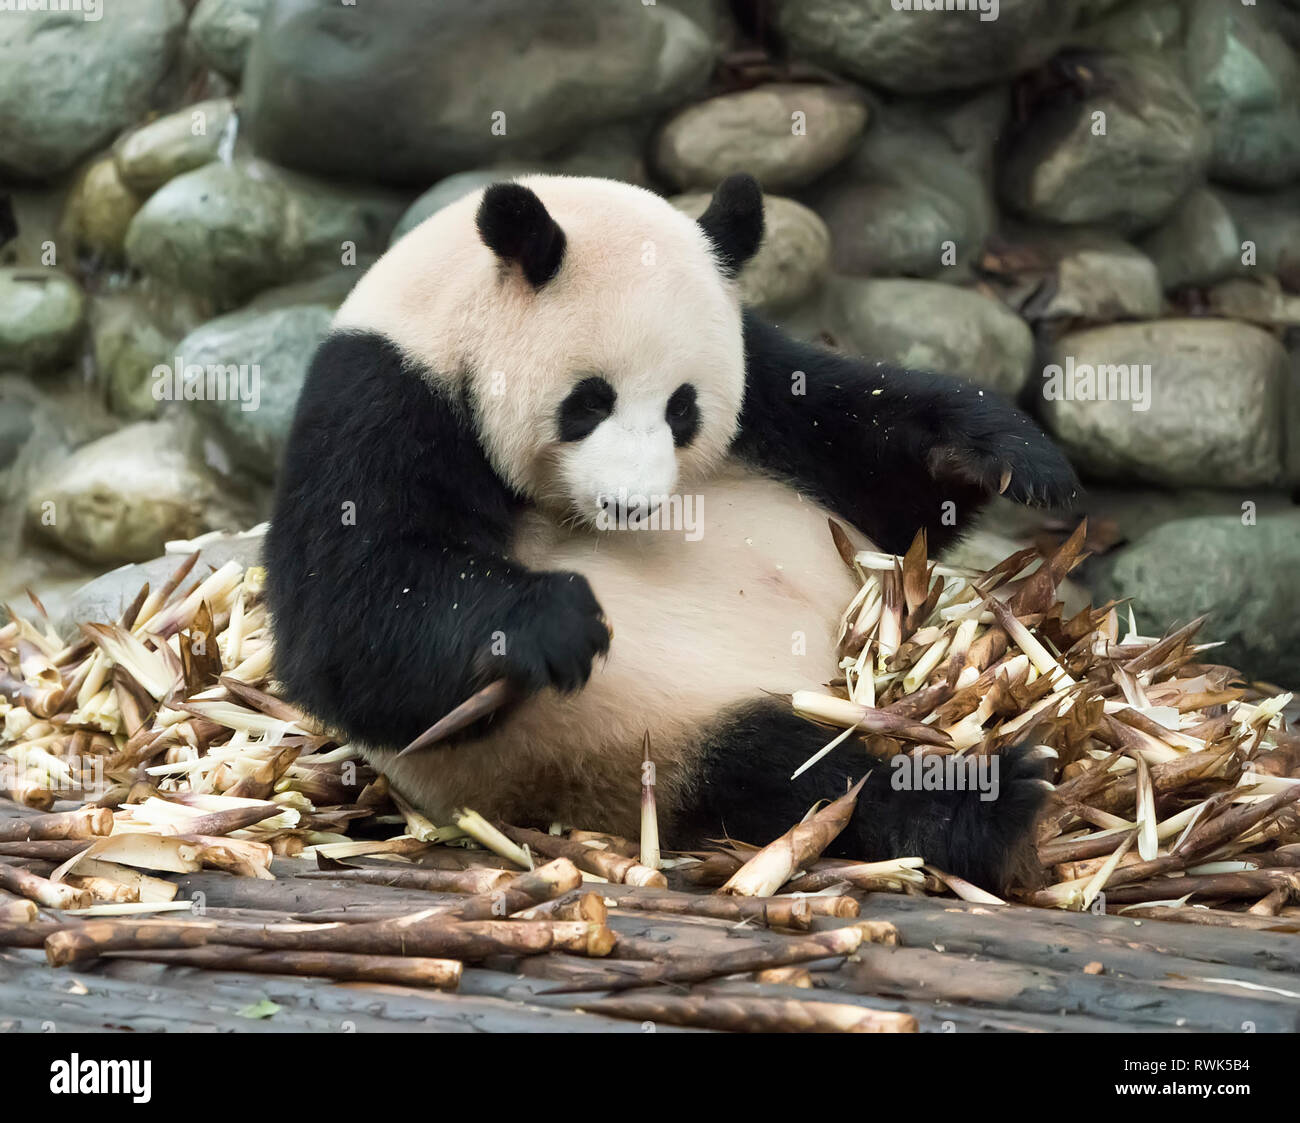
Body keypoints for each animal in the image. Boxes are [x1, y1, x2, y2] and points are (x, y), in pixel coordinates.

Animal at [265, 173, 1078, 891]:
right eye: (588, 401)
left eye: (683, 408)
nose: (630, 504)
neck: (447, 314)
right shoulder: (383, 394)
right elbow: (348, 621)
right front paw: (552, 621)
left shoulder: (766, 383)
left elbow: (879, 469)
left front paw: (1007, 454)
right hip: (641, 738)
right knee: (795, 778)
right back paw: (987, 803)